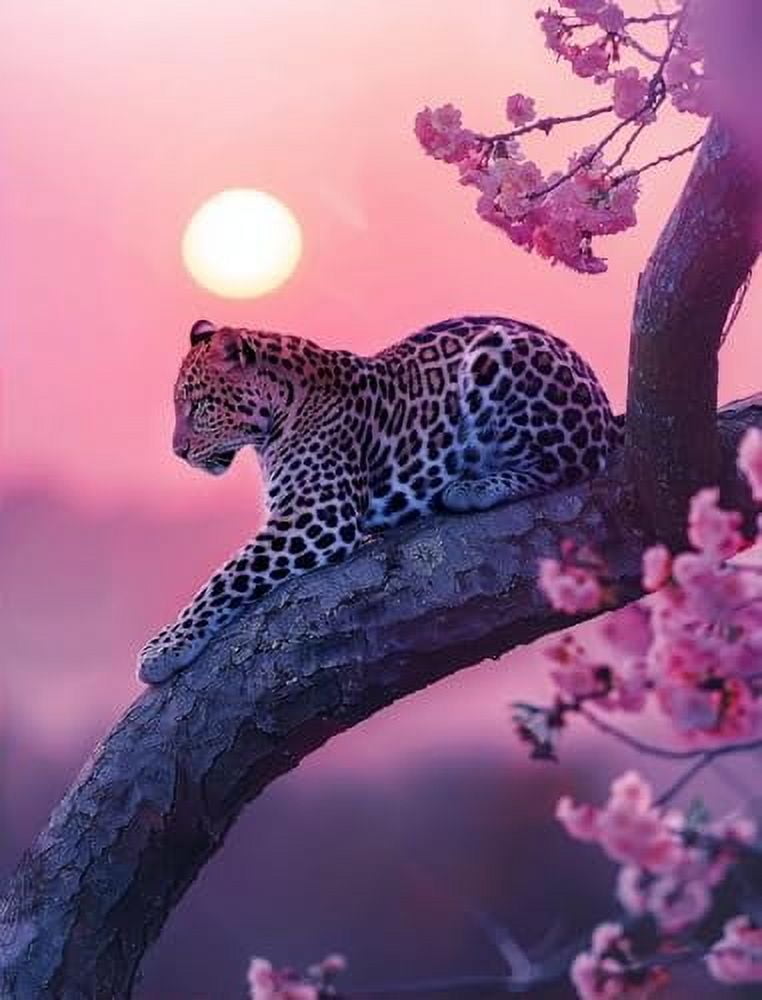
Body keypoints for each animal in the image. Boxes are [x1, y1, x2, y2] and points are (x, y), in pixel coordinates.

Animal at [138, 315, 623, 683]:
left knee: (573, 460)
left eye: (199, 405)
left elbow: (226, 576)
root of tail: (600, 398)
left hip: (499, 359)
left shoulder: (318, 516)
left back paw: (472, 488)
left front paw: (164, 649)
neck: (282, 407)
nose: (178, 451)